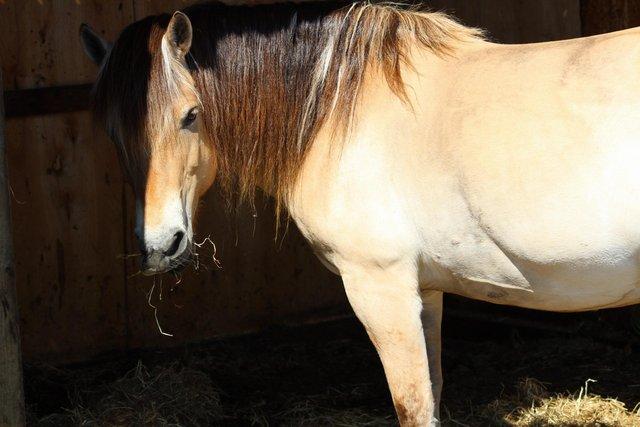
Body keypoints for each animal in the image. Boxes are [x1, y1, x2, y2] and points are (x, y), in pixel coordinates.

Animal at [80, 1, 640, 424]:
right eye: (111, 130)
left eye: (191, 116)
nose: (161, 246)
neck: (333, 108)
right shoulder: (424, 291)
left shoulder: (380, 289)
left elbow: (413, 407)